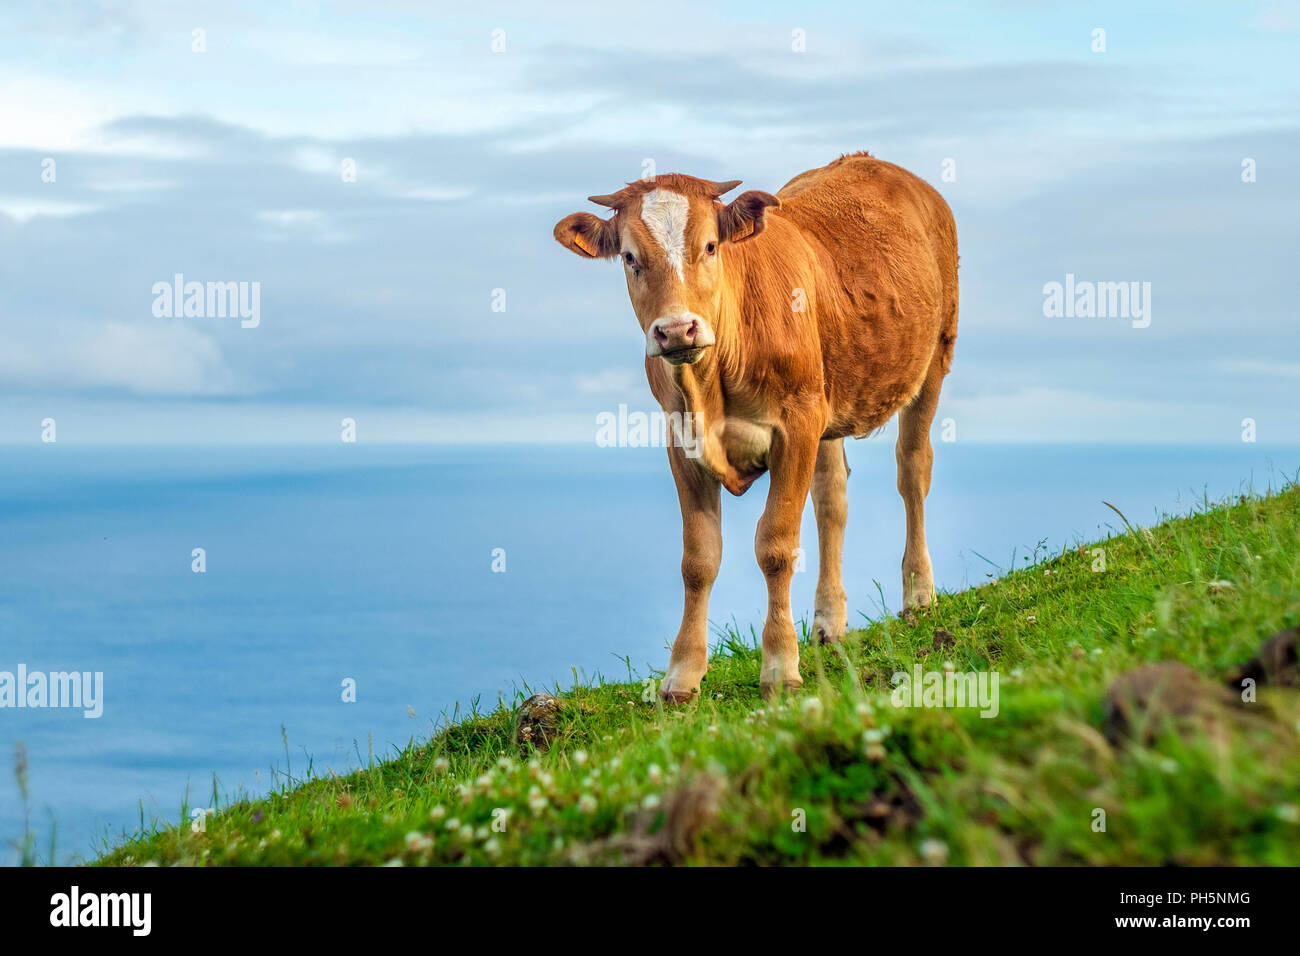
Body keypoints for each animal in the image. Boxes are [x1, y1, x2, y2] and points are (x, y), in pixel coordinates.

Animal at [553, 152, 958, 701]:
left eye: (709, 246)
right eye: (630, 257)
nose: (676, 329)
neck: (710, 383)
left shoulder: (796, 426)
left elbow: (776, 546)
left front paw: (781, 666)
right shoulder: (681, 441)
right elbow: (698, 559)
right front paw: (683, 674)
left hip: (934, 355)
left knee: (913, 470)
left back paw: (918, 593)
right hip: (826, 400)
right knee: (831, 498)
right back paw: (829, 622)